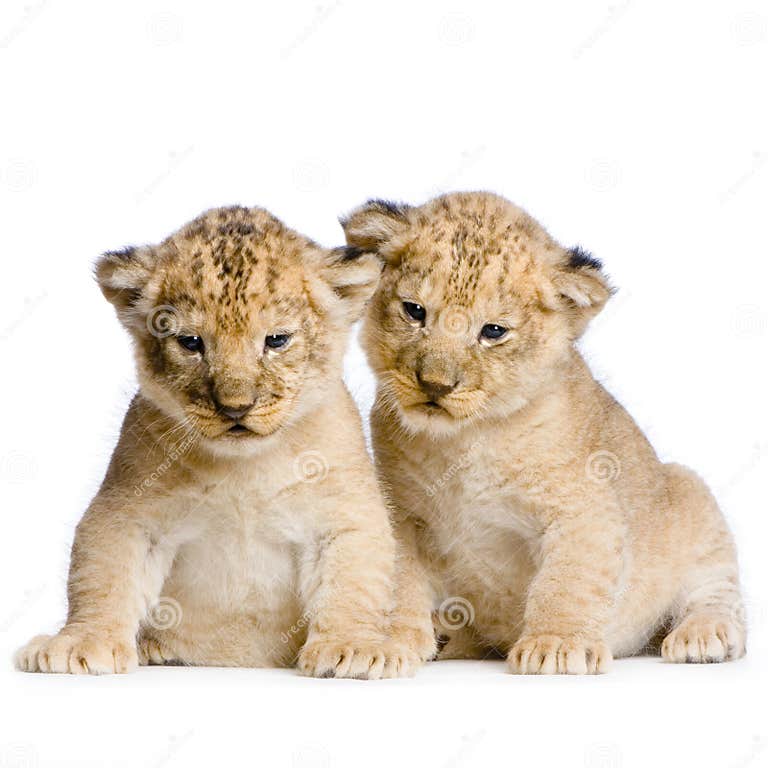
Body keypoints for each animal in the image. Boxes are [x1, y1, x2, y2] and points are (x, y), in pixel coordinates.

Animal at [15, 205, 418, 678]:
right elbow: (101, 574)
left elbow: (354, 582)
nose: (235, 408)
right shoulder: (127, 507)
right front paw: (80, 642)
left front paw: (354, 647)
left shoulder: (345, 512)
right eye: (191, 343)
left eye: (276, 340)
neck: (244, 469)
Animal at [342, 191, 746, 673]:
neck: (463, 441)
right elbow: (397, 580)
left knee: (718, 592)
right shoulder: (400, 514)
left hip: (690, 494)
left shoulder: (583, 508)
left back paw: (703, 635)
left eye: (493, 331)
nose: (436, 385)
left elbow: (568, 580)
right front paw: (383, 644)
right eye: (414, 311)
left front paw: (556, 644)